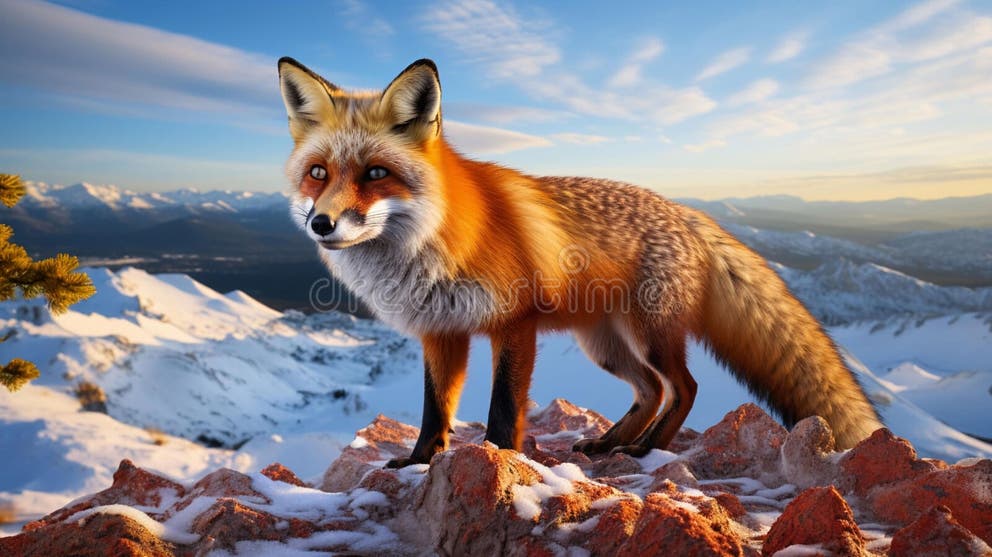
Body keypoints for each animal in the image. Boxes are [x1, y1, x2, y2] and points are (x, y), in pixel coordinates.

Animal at [277, 57, 883, 467]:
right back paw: (610, 441)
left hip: (649, 333)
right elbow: (434, 411)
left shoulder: (513, 323)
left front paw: (497, 463)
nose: (321, 224)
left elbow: (503, 409)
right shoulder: (440, 332)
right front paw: (420, 462)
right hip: (606, 345)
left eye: (377, 174)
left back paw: (645, 450)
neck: (430, 247)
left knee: (683, 387)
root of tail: (688, 212)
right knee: (651, 390)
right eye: (318, 173)